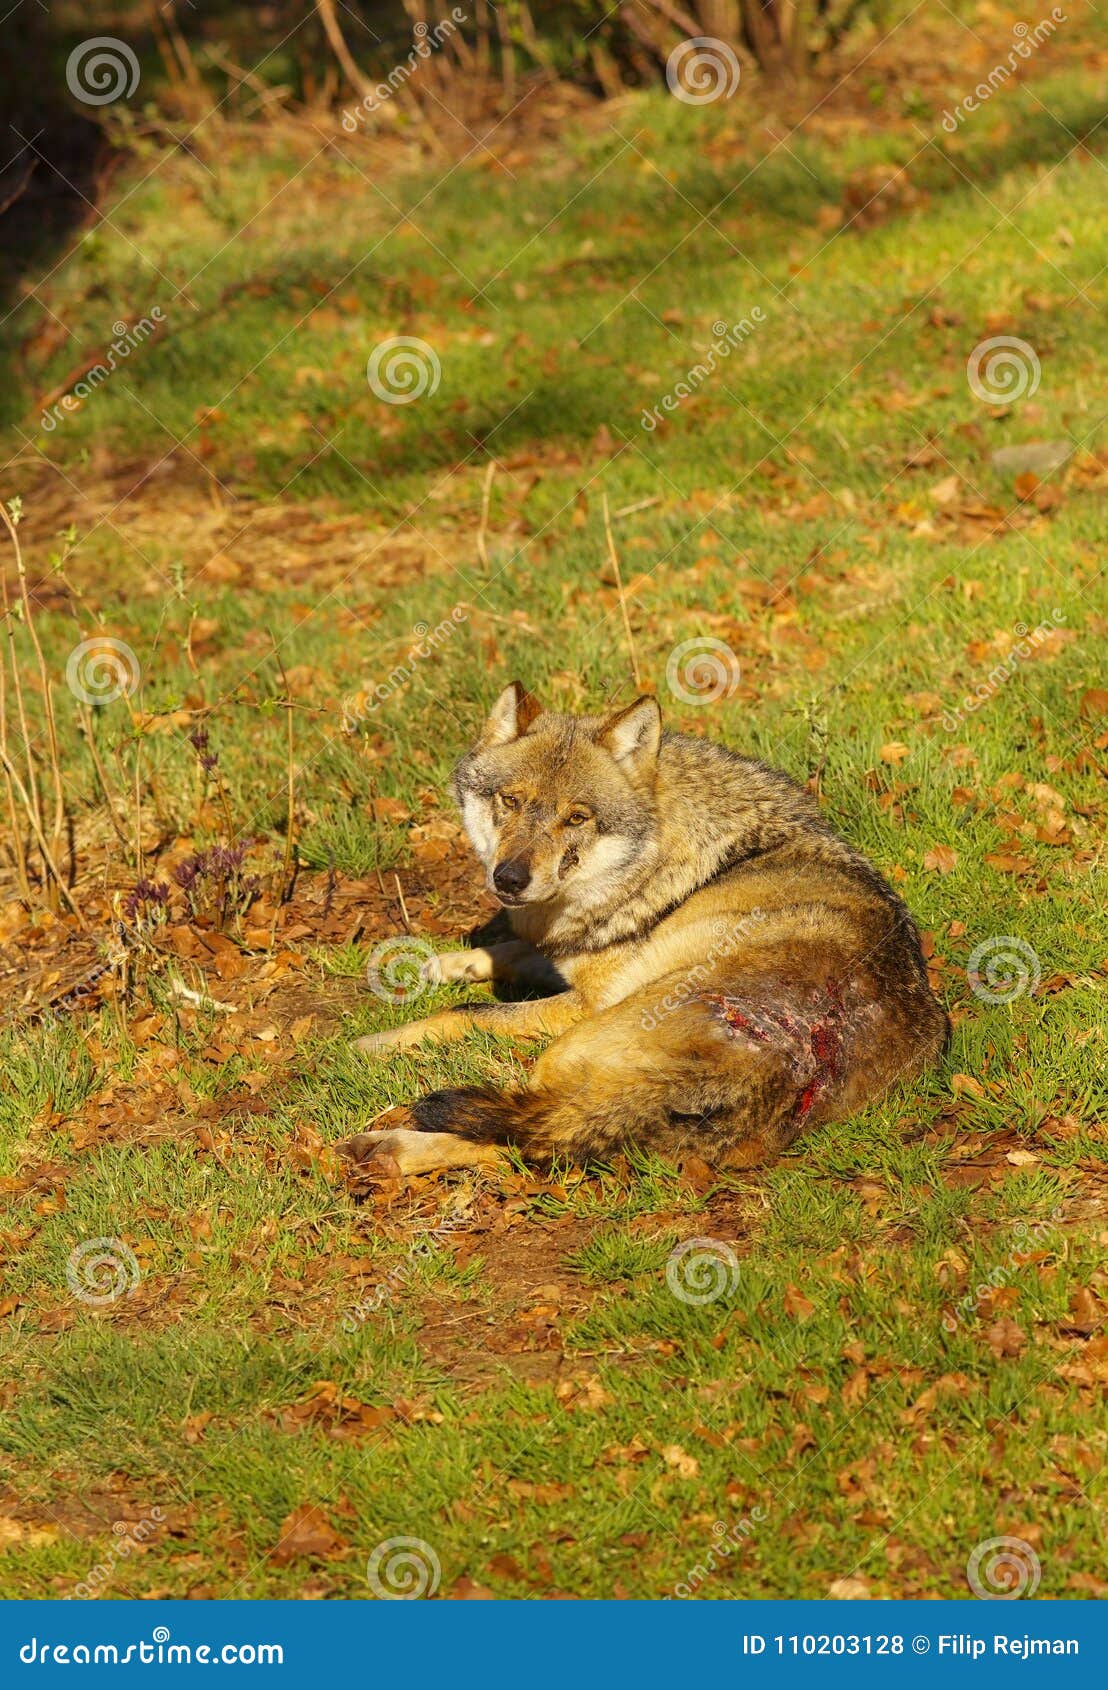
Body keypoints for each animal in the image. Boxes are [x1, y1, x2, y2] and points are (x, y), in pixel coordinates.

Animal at [345, 683, 948, 1178]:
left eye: (576, 817)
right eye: (510, 801)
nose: (509, 878)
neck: (657, 863)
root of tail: (768, 1069)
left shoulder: (586, 1001)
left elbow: (462, 1013)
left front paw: (373, 1044)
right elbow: (513, 951)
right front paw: (442, 963)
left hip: (564, 1051)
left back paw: (387, 1146)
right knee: (532, 1143)